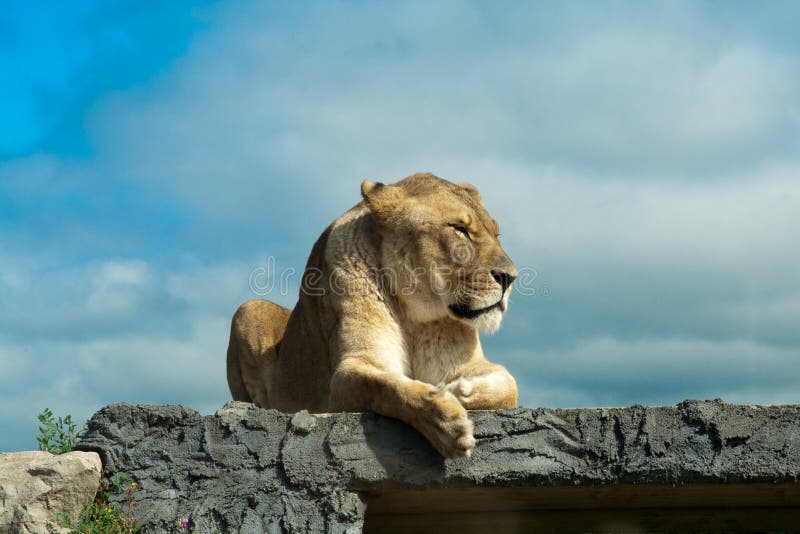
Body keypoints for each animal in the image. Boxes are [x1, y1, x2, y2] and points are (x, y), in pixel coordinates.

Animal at [226, 173, 518, 458]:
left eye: (497, 233)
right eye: (459, 228)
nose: (510, 278)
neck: (415, 314)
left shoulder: (468, 364)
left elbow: (510, 384)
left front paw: (458, 389)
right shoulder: (347, 375)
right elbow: (390, 388)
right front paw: (446, 422)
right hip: (249, 308)